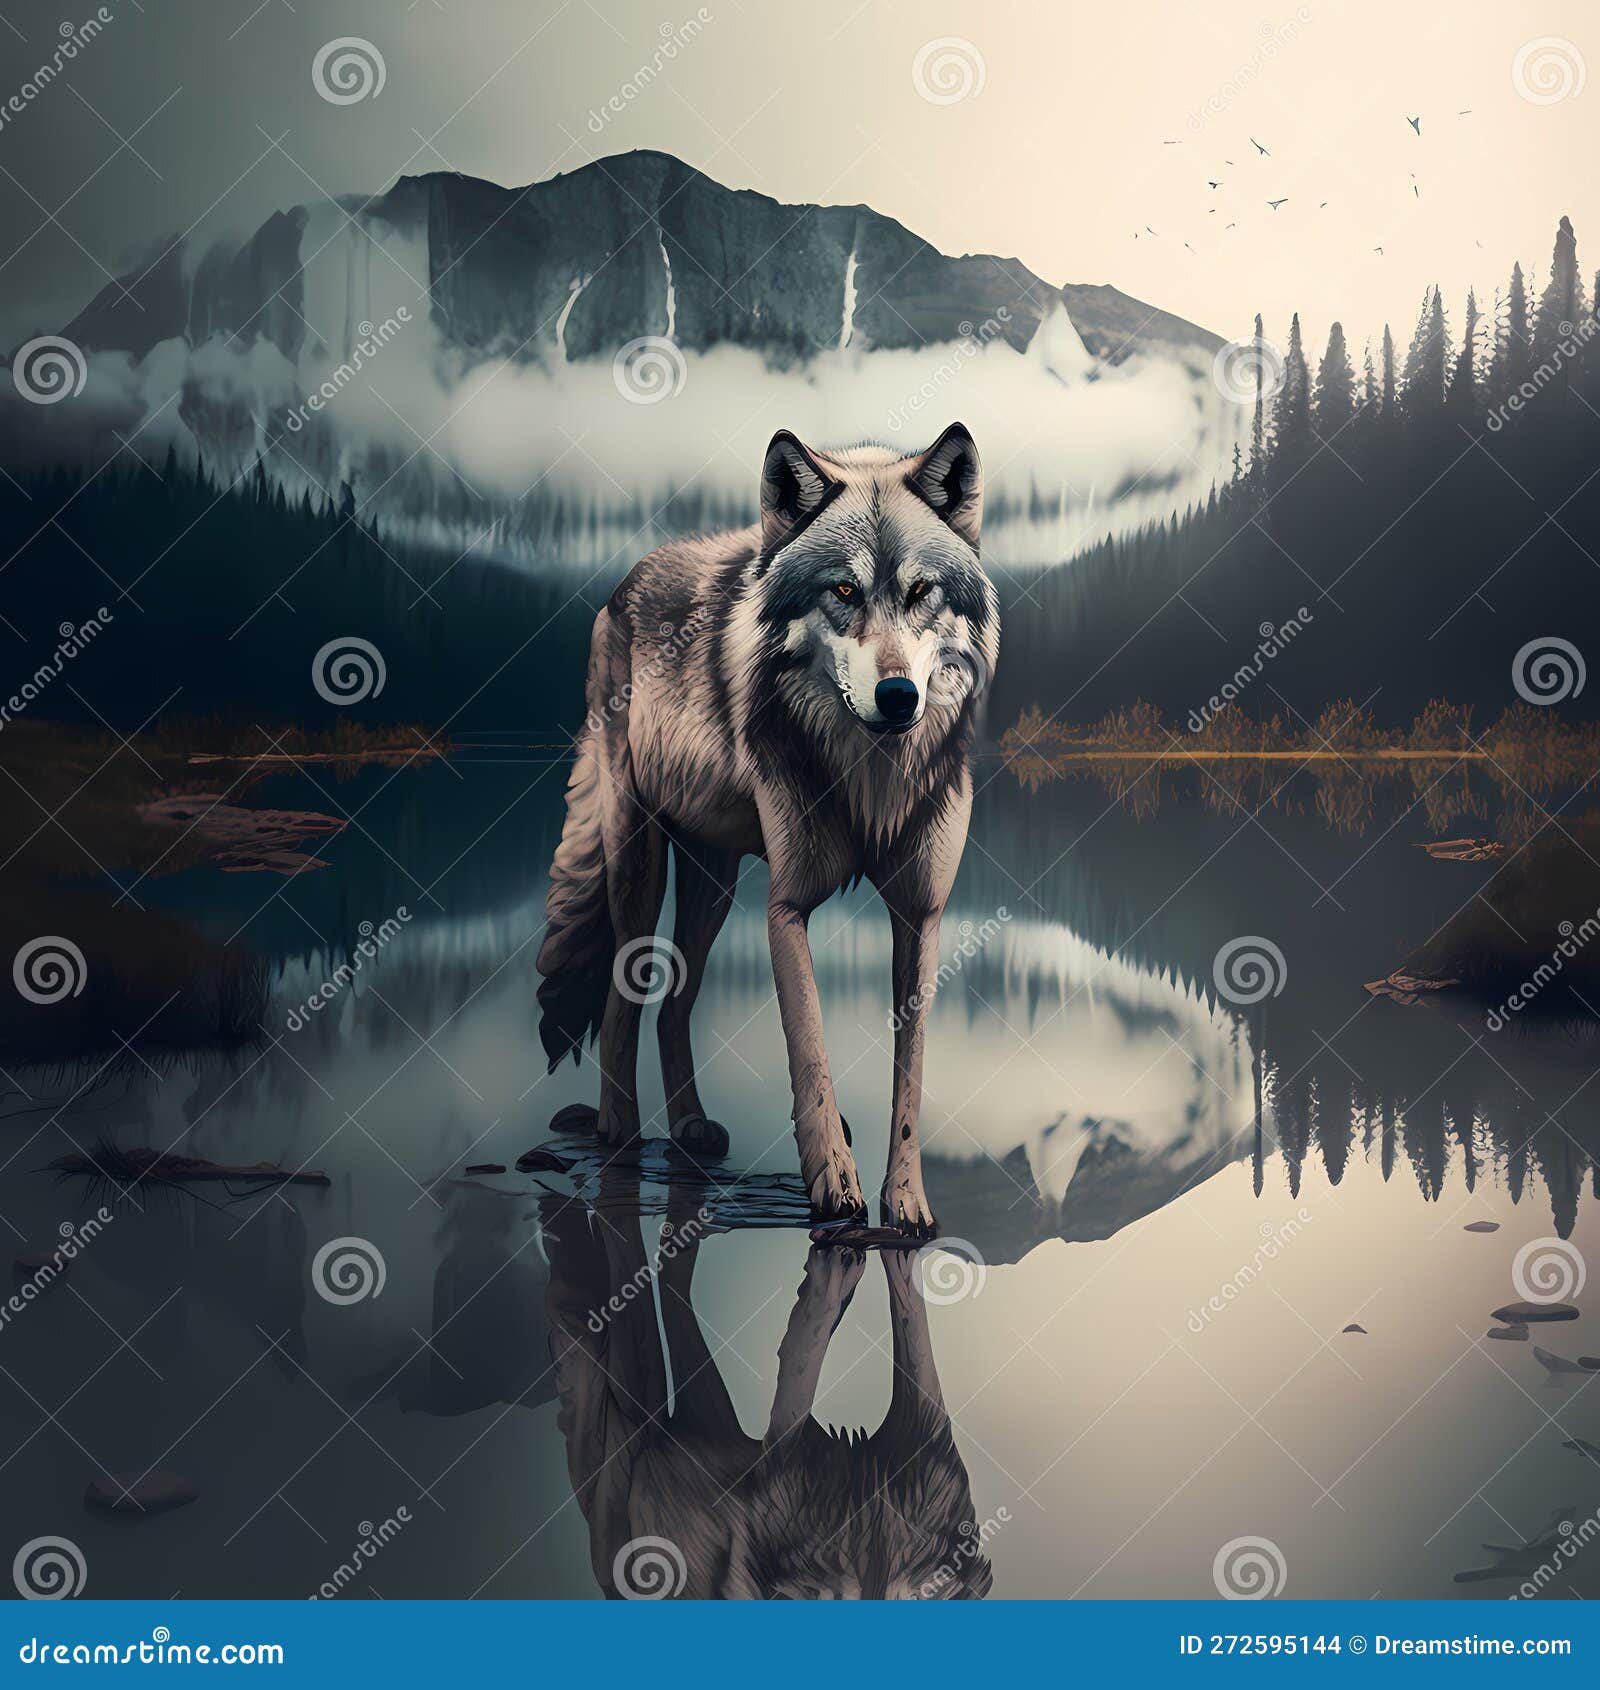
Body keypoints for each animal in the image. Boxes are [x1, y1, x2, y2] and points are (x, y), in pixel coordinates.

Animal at [537, 422, 999, 1233]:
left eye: (920, 592)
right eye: (843, 591)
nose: (898, 696)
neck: (869, 776)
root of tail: (623, 584)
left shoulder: (920, 915)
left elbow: (910, 1077)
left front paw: (906, 1201)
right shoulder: (786, 908)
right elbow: (810, 1052)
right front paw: (835, 1188)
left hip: (714, 886)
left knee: (674, 1006)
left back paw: (689, 1126)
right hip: (640, 869)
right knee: (625, 1003)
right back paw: (619, 1136)